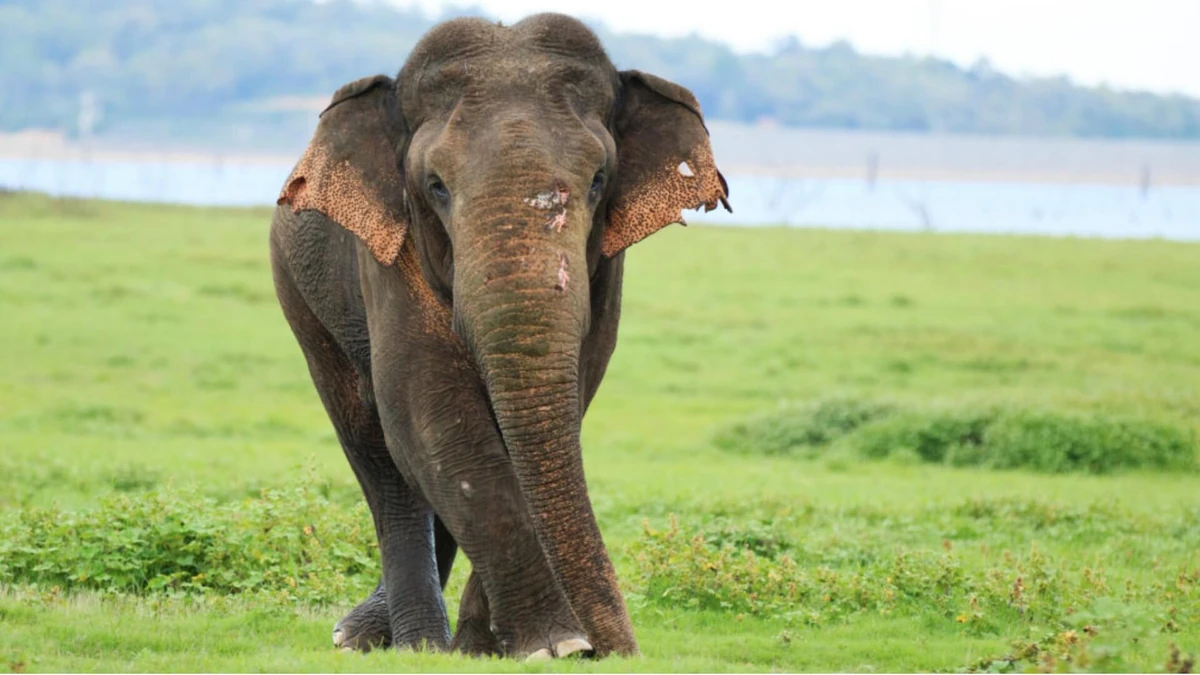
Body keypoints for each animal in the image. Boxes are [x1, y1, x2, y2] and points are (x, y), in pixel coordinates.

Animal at [268, 12, 729, 660]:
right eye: (435, 185)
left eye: (599, 180)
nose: (612, 650)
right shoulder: (390, 254)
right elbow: (432, 413)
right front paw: (550, 645)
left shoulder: (606, 268)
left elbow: (556, 402)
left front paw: (496, 647)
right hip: (302, 301)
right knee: (377, 453)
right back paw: (398, 641)